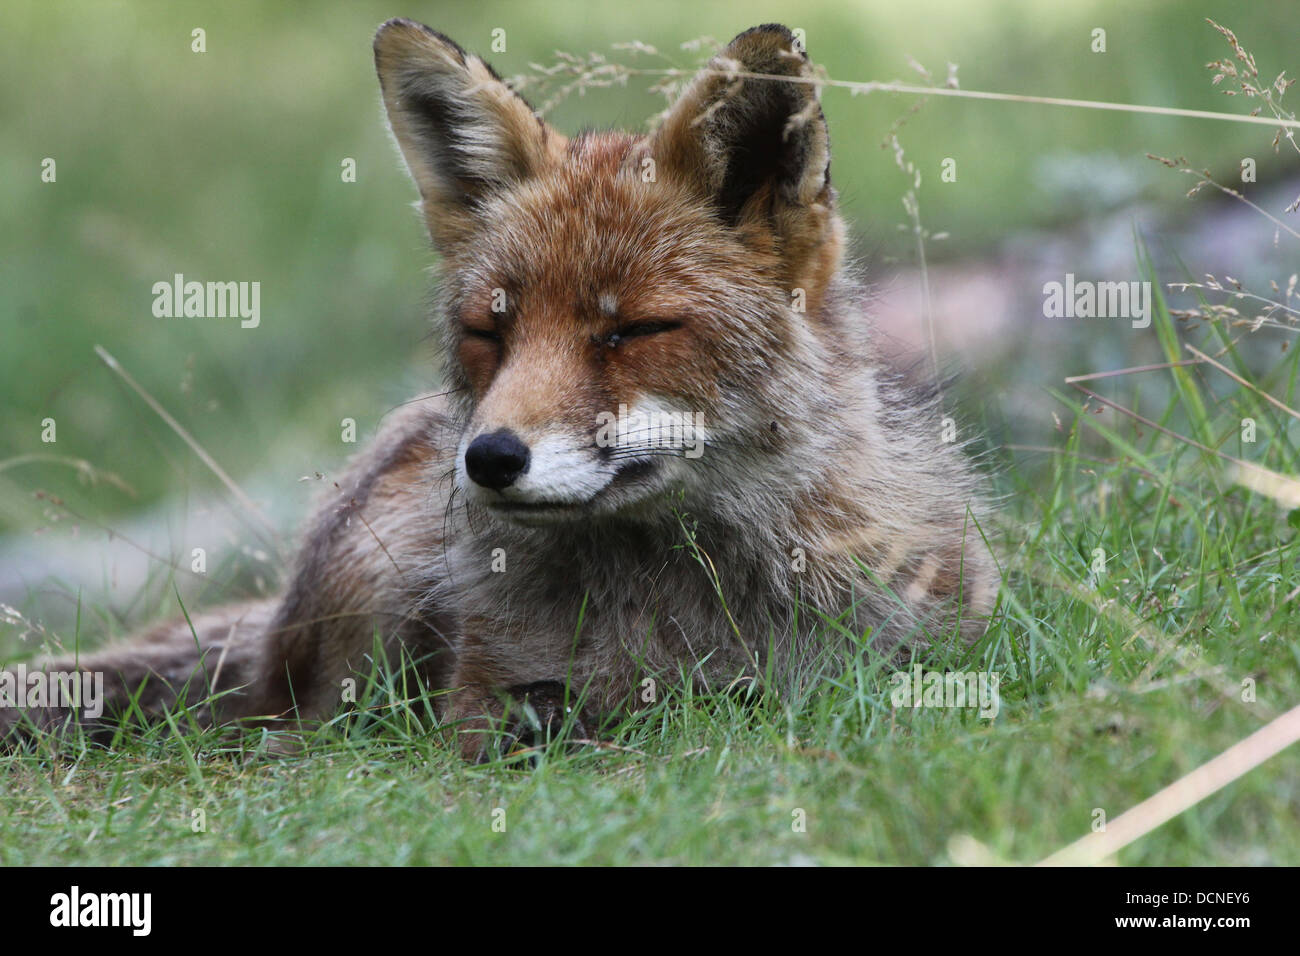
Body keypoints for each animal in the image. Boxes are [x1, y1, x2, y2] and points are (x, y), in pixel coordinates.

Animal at [1, 20, 998, 760]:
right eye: (492, 332)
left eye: (633, 331)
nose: (488, 458)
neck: (678, 608)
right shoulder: (485, 701)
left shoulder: (931, 649)